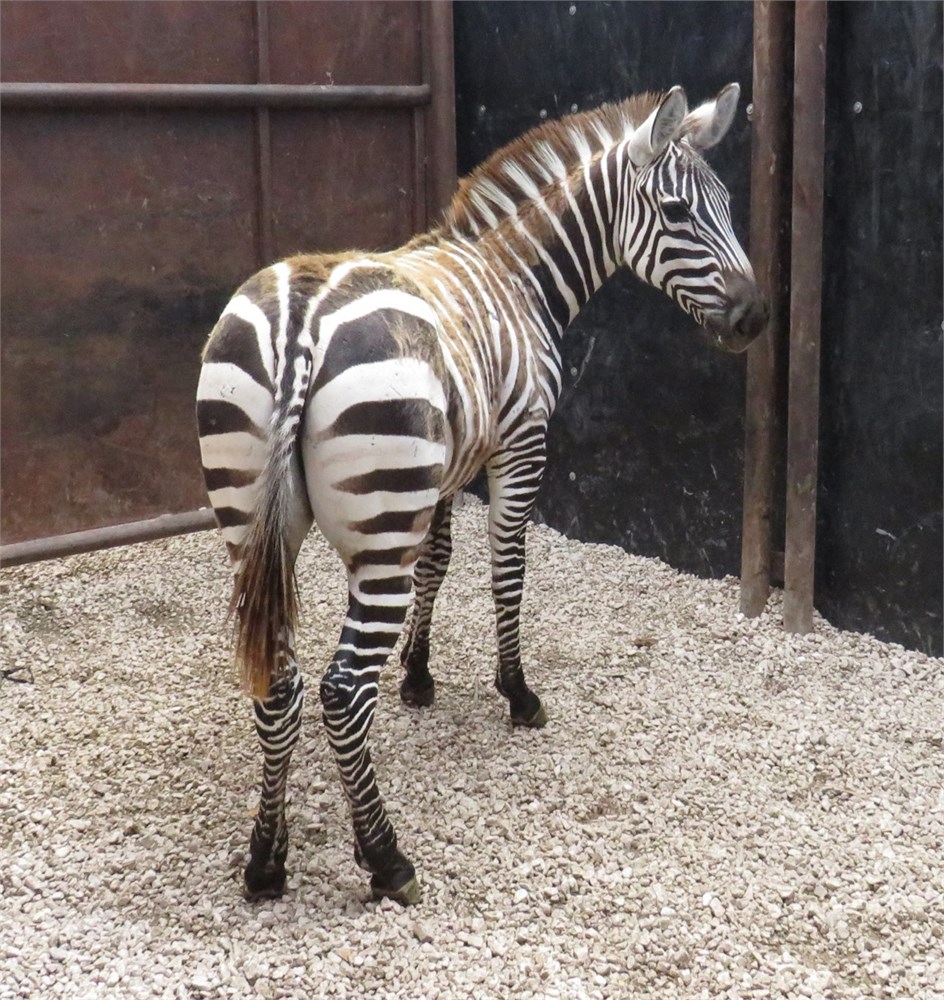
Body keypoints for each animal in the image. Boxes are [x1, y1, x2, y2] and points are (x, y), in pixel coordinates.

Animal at [196, 84, 768, 906]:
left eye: (725, 204)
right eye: (679, 212)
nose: (756, 318)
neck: (518, 272)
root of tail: (301, 315)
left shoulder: (444, 467)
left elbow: (439, 560)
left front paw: (418, 676)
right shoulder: (519, 443)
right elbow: (507, 569)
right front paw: (516, 692)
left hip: (253, 524)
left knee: (282, 683)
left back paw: (266, 862)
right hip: (379, 527)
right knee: (341, 689)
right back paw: (387, 858)